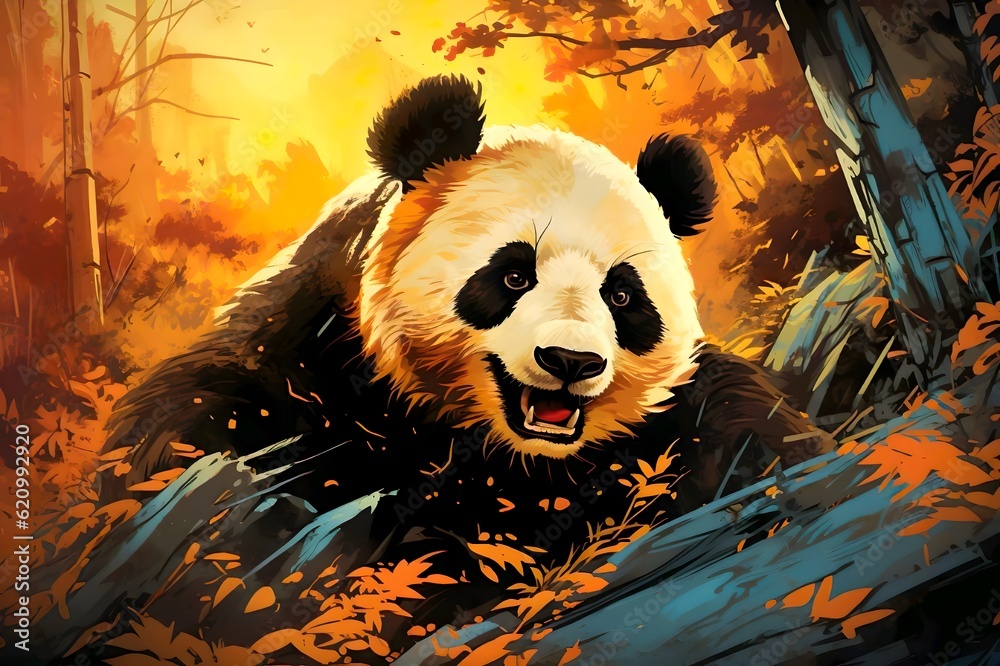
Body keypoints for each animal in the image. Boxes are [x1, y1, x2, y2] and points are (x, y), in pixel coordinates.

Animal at [101, 75, 831, 620]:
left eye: (623, 295)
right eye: (511, 274)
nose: (571, 363)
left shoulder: (665, 428)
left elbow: (745, 433)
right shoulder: (312, 352)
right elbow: (193, 430)